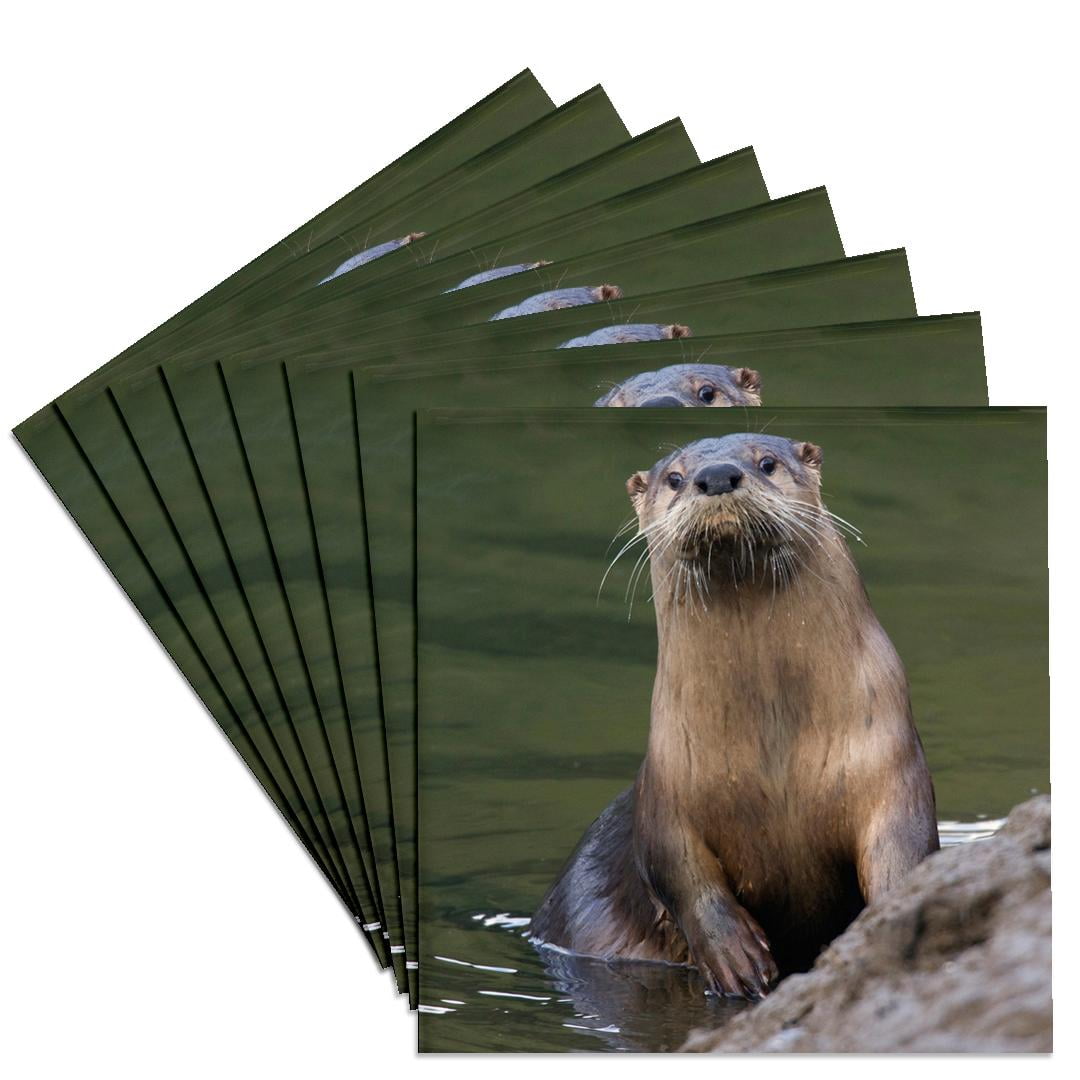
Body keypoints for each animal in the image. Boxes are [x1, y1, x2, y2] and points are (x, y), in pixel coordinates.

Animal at [530, 435, 939, 999]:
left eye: (766, 463)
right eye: (674, 478)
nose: (717, 475)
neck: (775, 758)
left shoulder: (891, 768)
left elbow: (904, 854)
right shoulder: (667, 791)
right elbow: (680, 874)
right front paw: (737, 959)